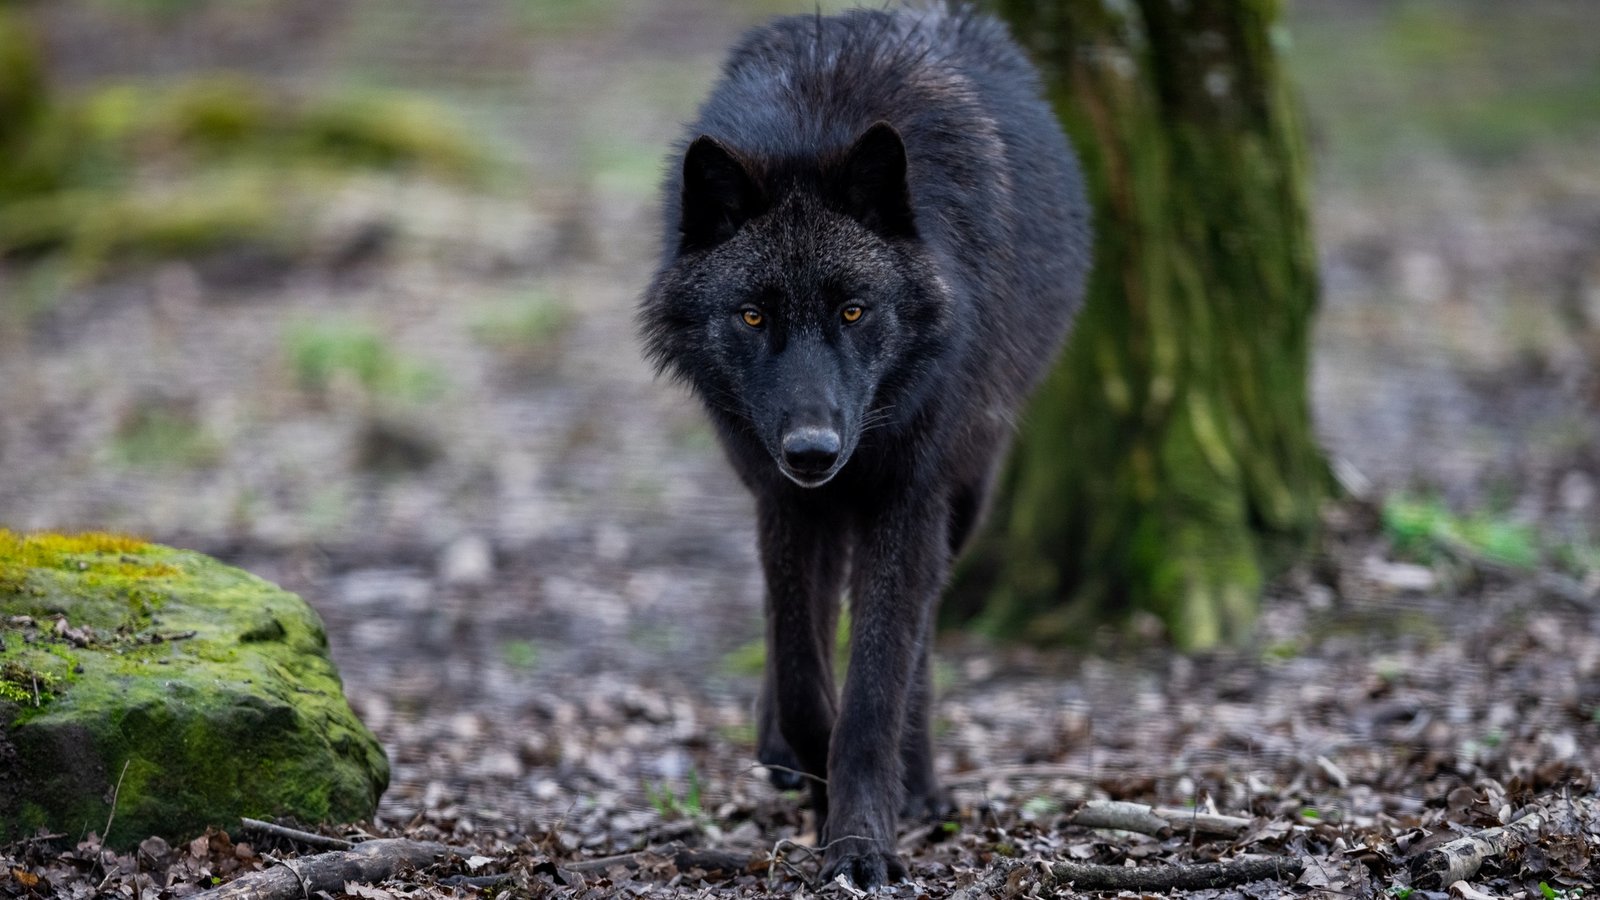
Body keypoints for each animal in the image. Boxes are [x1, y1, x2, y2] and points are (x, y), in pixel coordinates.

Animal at [639, 3, 1090, 887]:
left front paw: (860, 841)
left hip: (966, 490)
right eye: (753, 315)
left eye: (853, 310)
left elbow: (876, 687)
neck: (814, 131)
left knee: (921, 639)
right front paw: (811, 778)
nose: (815, 450)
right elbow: (805, 675)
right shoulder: (784, 498)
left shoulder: (907, 498)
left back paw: (918, 786)